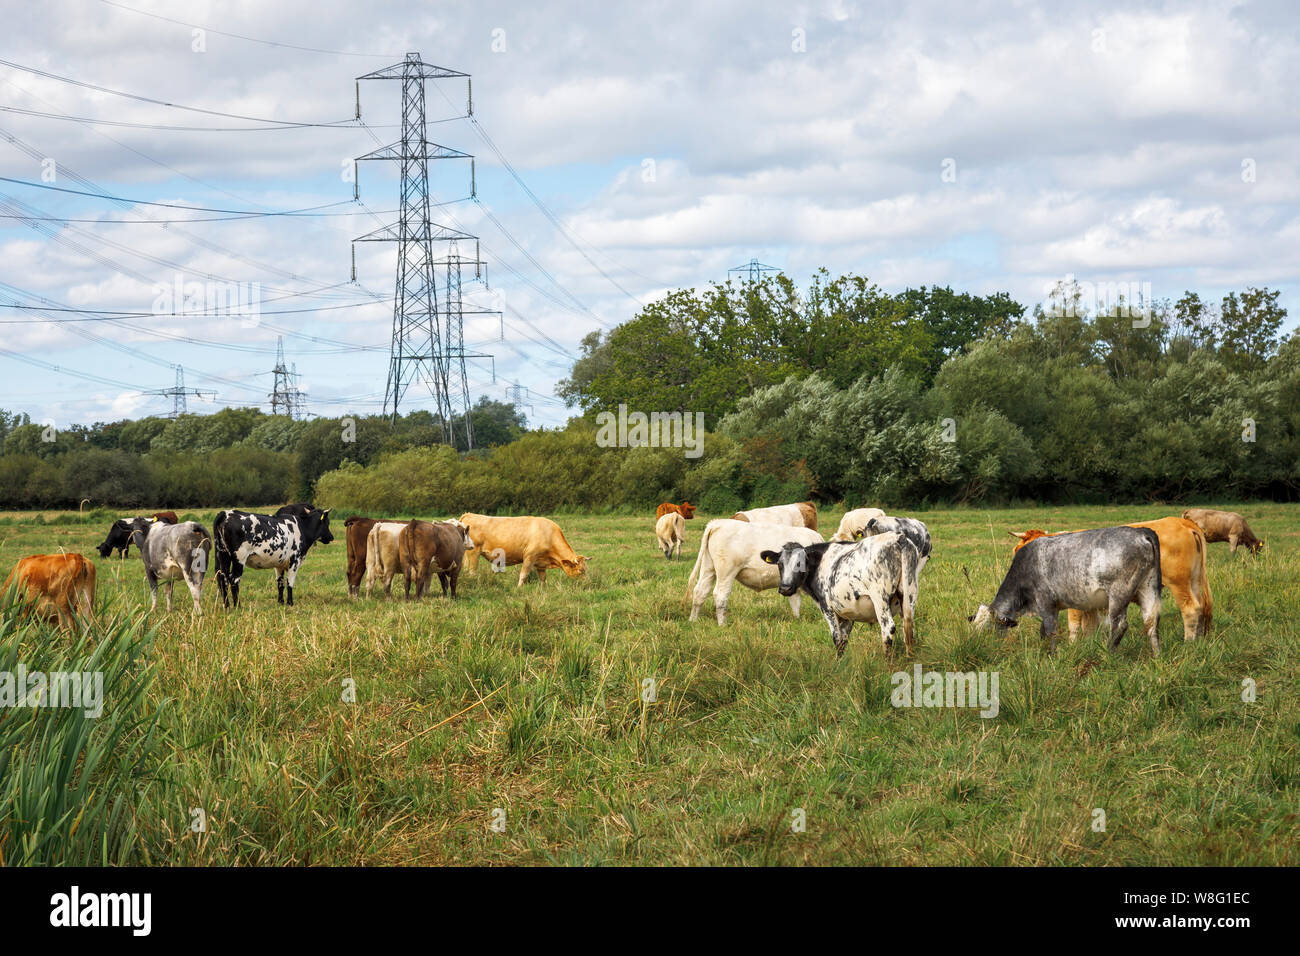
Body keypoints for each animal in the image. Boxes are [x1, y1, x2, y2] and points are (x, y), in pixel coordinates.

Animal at [458, 513, 589, 586]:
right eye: (581, 571)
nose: (587, 583)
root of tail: (469, 514)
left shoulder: (541, 563)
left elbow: (542, 579)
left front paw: (542, 590)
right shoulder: (529, 556)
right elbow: (524, 575)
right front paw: (519, 588)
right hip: (473, 553)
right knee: (471, 572)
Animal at [687, 518, 824, 624]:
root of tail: (717, 523)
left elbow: (795, 602)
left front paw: (797, 620)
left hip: (708, 568)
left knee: (700, 591)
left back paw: (693, 620)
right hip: (726, 571)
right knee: (720, 595)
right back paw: (722, 624)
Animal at [760, 532, 920, 657]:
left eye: (801, 563)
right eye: (780, 564)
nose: (785, 588)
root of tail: (898, 537)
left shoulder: (827, 607)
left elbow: (837, 638)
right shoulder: (849, 612)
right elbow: (844, 639)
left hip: (880, 599)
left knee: (888, 628)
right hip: (909, 596)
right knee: (909, 628)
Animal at [972, 526, 1162, 655]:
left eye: (987, 629)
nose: (981, 647)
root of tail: (1141, 531)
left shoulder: (1045, 601)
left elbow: (1050, 629)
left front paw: (1052, 654)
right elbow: (1044, 631)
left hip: (1119, 594)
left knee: (1119, 625)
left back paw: (1108, 654)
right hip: (1148, 588)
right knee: (1151, 623)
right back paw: (1156, 656)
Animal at [1009, 515, 1211, 642]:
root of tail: (1183, 522)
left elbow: (1074, 626)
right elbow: (1089, 627)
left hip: (1178, 583)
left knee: (1190, 609)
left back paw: (1188, 643)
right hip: (1194, 581)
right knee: (1201, 607)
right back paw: (1199, 640)